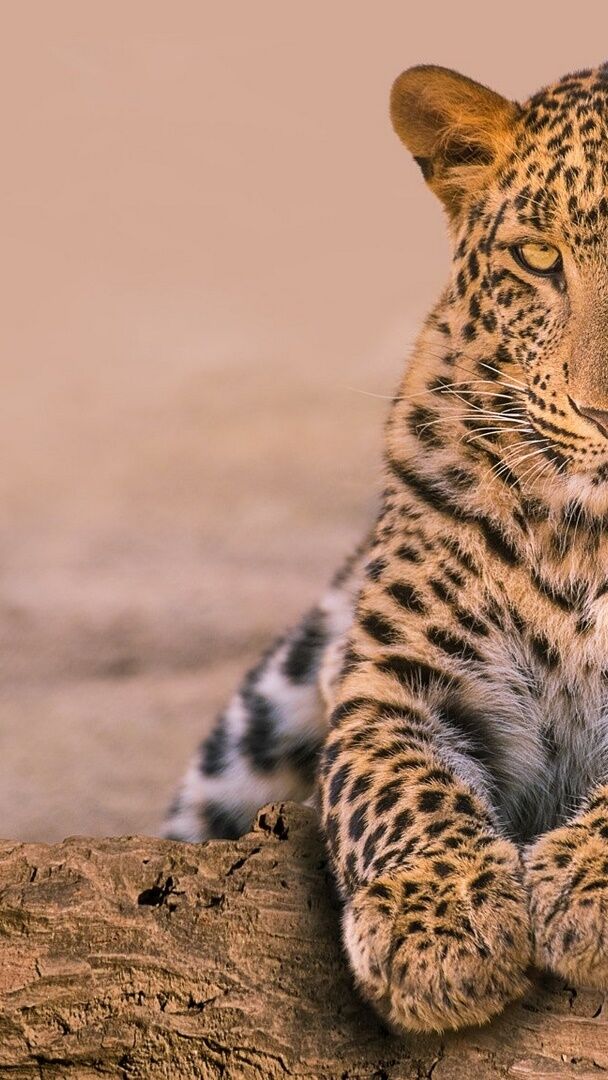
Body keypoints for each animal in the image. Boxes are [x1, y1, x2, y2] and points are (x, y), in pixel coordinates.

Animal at [164, 61, 608, 1035]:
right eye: (540, 258)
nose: (606, 413)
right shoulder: (390, 682)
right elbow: (398, 788)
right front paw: (438, 923)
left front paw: (586, 886)